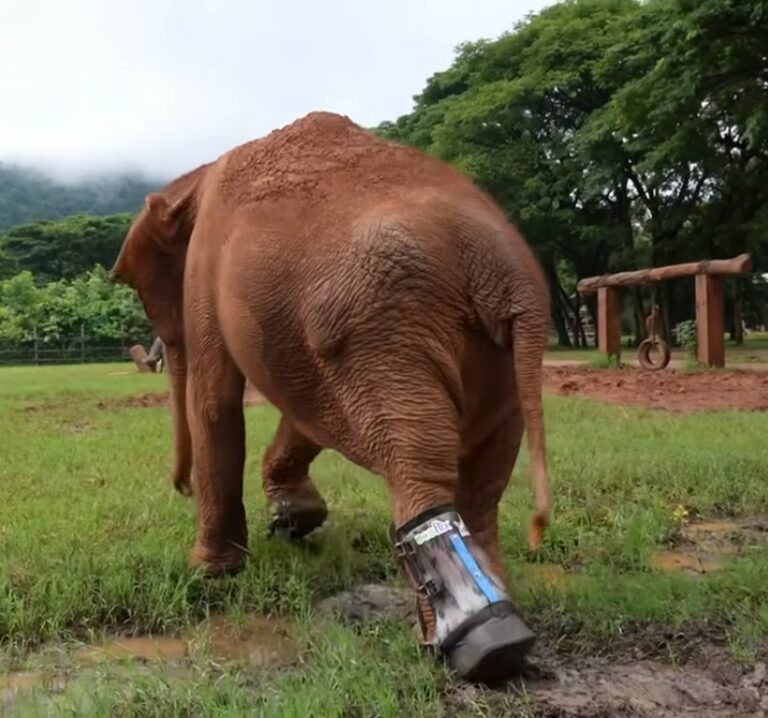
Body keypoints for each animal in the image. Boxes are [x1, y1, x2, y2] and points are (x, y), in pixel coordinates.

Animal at [111, 111, 551, 683]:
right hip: (494, 361)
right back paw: (500, 640)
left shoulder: (206, 270)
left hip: (386, 331)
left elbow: (214, 401)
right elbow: (304, 414)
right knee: (483, 483)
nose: (178, 486)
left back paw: (470, 642)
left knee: (418, 457)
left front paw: (208, 574)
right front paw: (293, 522)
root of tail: (507, 275)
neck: (196, 175)